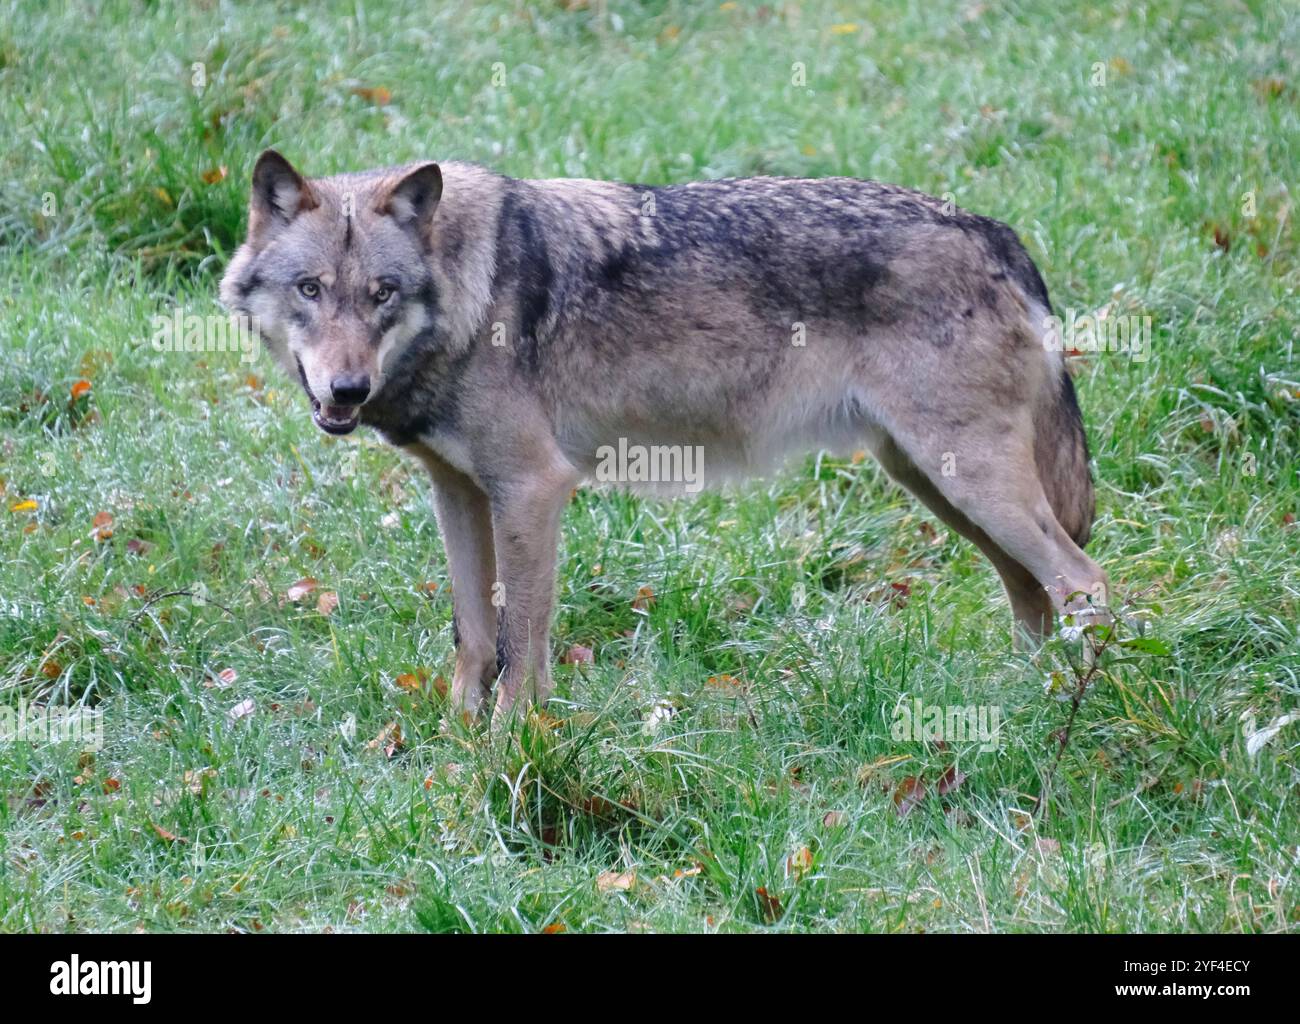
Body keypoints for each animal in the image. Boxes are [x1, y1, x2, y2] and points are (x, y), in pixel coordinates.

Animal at [220, 150, 1109, 720]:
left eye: (382, 294)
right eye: (310, 290)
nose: (347, 390)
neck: (467, 297)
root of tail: (991, 228)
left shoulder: (534, 491)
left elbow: (521, 648)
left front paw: (511, 750)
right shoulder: (460, 493)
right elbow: (474, 638)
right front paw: (453, 747)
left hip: (970, 485)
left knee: (1083, 582)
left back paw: (1071, 709)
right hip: (936, 484)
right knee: (1033, 595)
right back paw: (1018, 703)